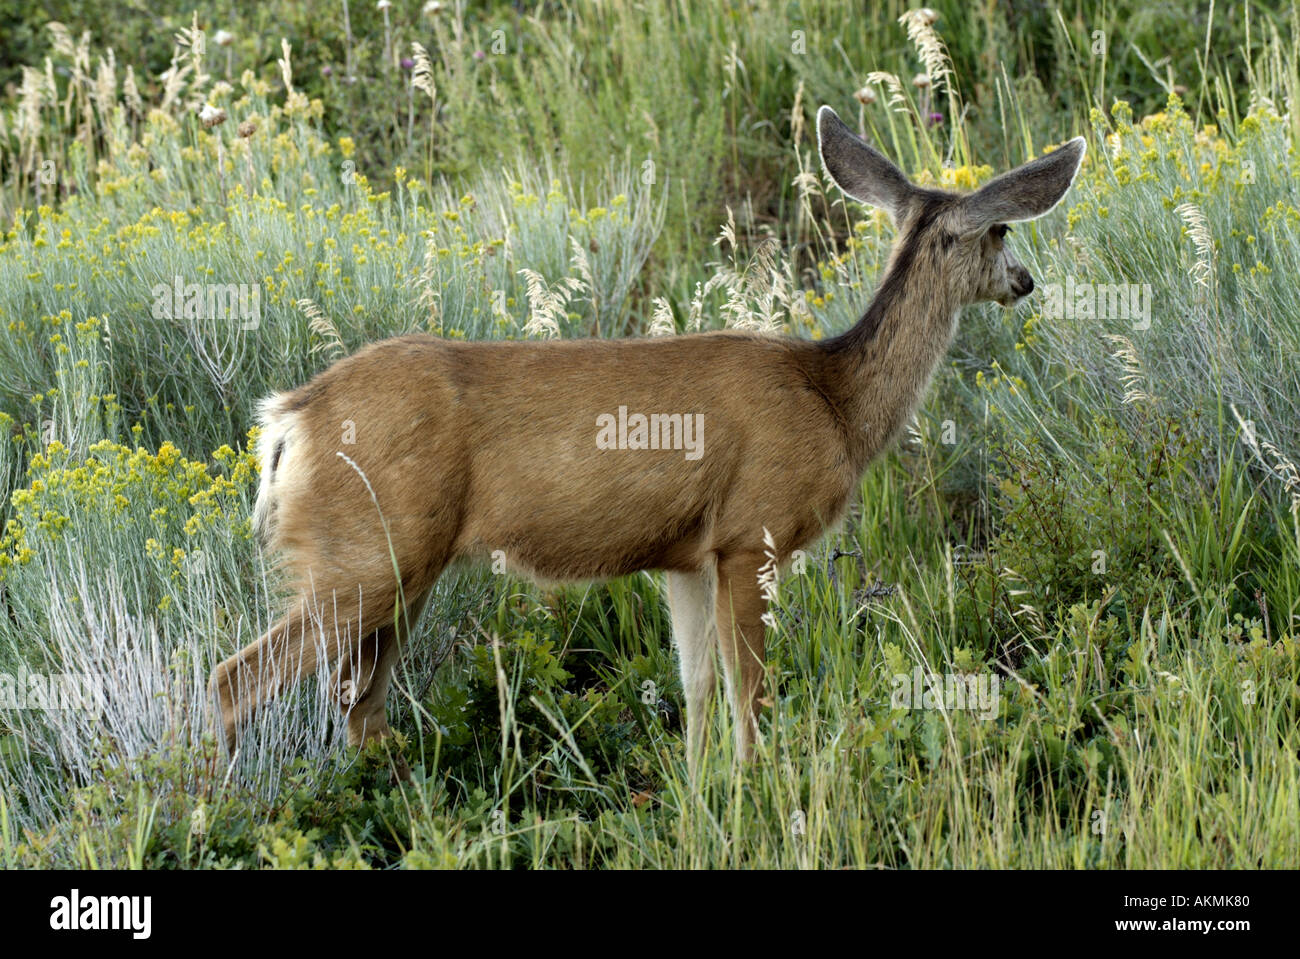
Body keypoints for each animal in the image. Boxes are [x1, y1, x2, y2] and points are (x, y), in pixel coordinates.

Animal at [209, 105, 1084, 782]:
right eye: (1001, 227)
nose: (1026, 281)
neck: (835, 399)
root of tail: (287, 420)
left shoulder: (686, 555)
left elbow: (696, 686)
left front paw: (700, 790)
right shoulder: (752, 531)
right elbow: (750, 688)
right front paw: (757, 785)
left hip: (397, 568)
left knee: (360, 704)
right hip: (364, 554)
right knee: (234, 677)